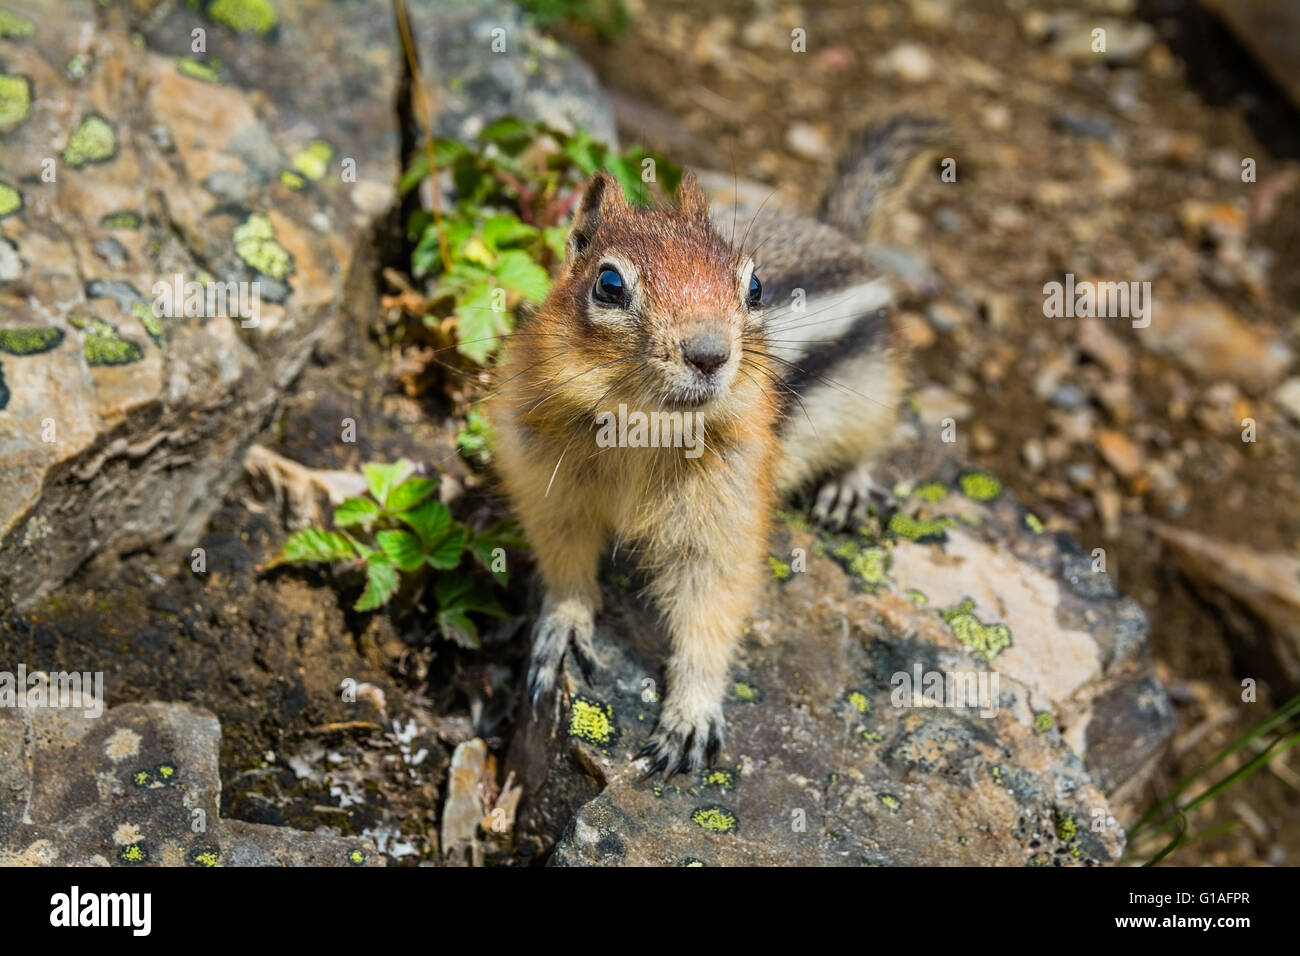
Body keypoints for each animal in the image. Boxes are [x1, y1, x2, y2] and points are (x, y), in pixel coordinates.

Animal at [487, 116, 942, 777]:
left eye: (754, 286)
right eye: (609, 284)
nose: (709, 353)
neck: (641, 430)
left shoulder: (725, 512)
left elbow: (713, 604)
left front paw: (691, 712)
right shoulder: (549, 485)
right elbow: (566, 562)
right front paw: (566, 628)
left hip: (875, 394)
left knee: (867, 447)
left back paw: (846, 488)